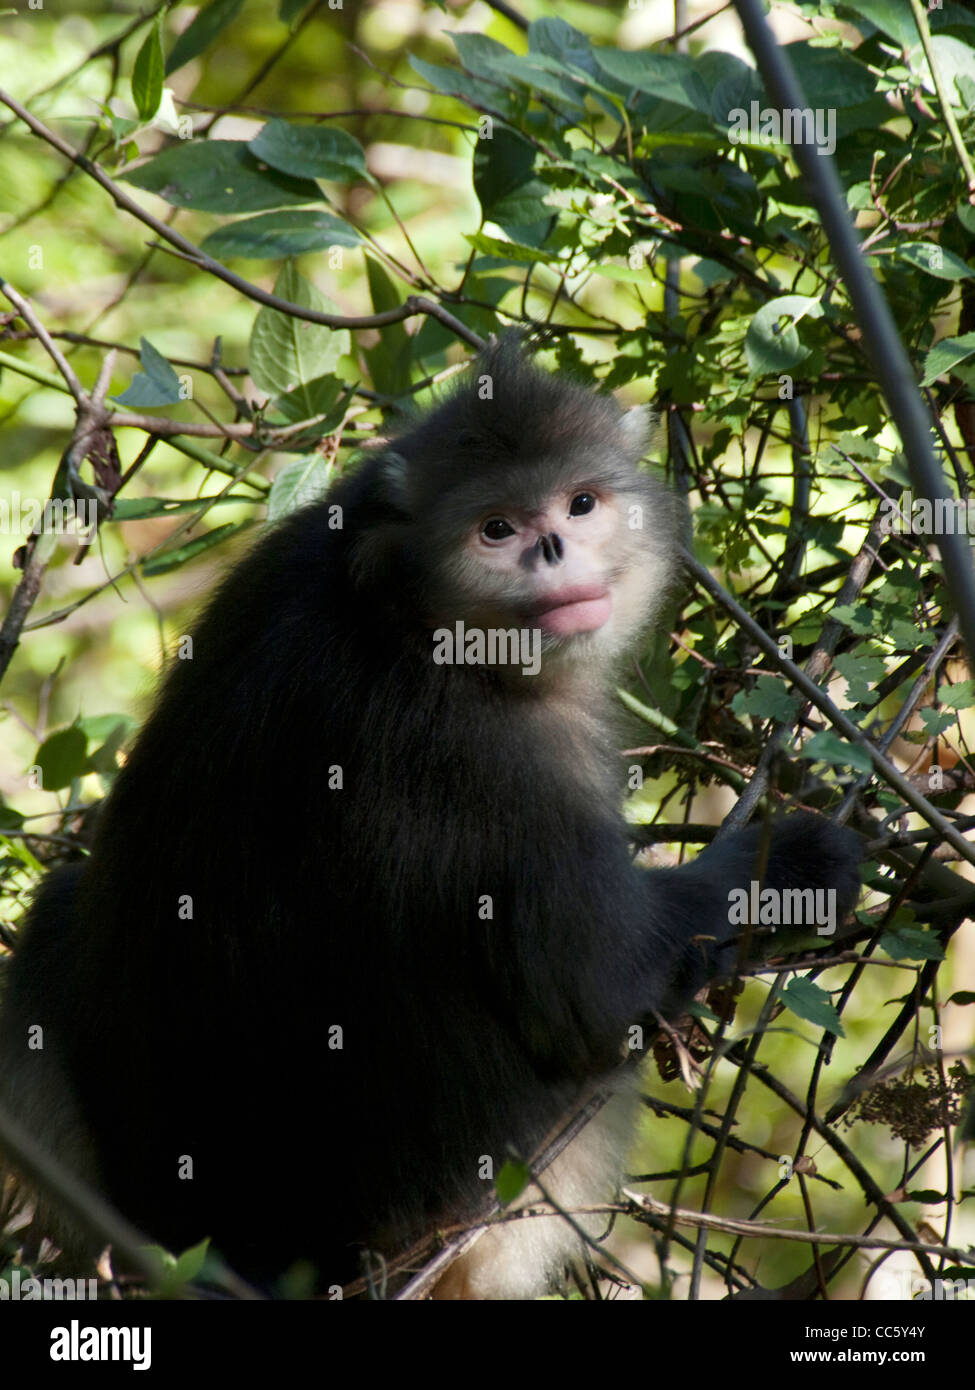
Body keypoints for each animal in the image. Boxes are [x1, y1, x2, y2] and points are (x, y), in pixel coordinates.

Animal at [0, 337, 861, 1299]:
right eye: (496, 529)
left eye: (581, 504)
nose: (552, 549)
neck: (405, 607)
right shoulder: (496, 751)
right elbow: (599, 997)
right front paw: (789, 865)